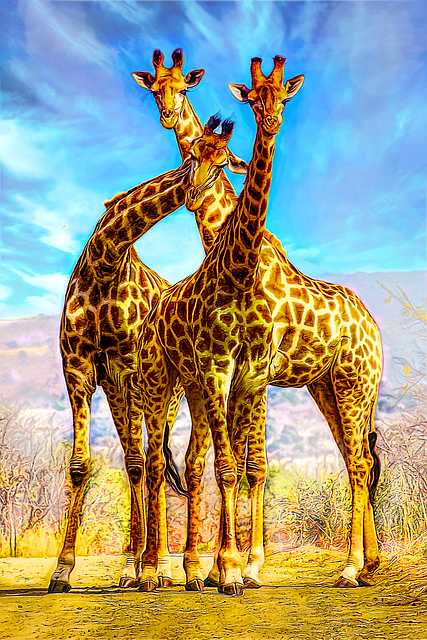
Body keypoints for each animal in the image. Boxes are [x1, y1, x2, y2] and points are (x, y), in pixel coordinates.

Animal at [48, 160, 191, 593]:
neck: (104, 263)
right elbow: (83, 465)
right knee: (143, 461)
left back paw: (161, 568)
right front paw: (62, 571)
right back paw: (139, 566)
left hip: (168, 393)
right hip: (124, 392)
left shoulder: (128, 369)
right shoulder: (80, 369)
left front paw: (149, 570)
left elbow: (140, 464)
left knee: (152, 461)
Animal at [137, 55, 305, 596]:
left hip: (192, 385)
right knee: (155, 462)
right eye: (193, 156)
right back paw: (154, 570)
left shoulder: (250, 372)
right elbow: (229, 467)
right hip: (161, 381)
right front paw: (228, 570)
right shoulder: (216, 368)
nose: (190, 195)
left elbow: (245, 465)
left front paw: (230, 568)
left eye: (283, 94)